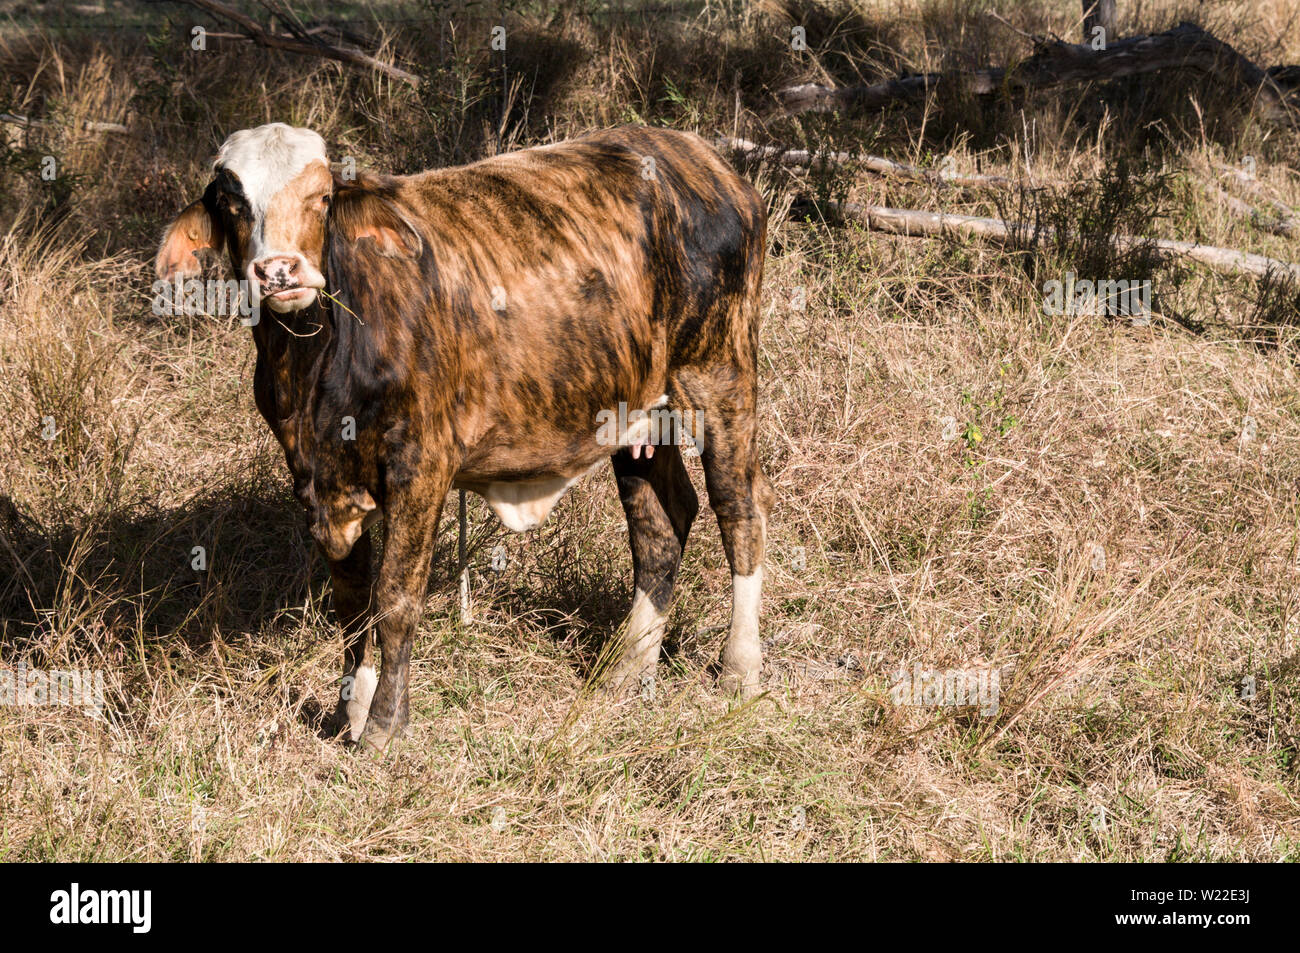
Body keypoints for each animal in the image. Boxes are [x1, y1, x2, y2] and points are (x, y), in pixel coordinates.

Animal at [155, 122, 772, 751]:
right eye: (233, 202)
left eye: (322, 198)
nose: (280, 271)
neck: (315, 359)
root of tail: (701, 158)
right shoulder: (319, 482)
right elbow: (351, 603)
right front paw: (351, 710)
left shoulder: (420, 467)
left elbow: (394, 598)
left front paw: (384, 726)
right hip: (638, 410)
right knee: (661, 526)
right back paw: (627, 670)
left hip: (720, 373)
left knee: (740, 509)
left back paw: (739, 669)